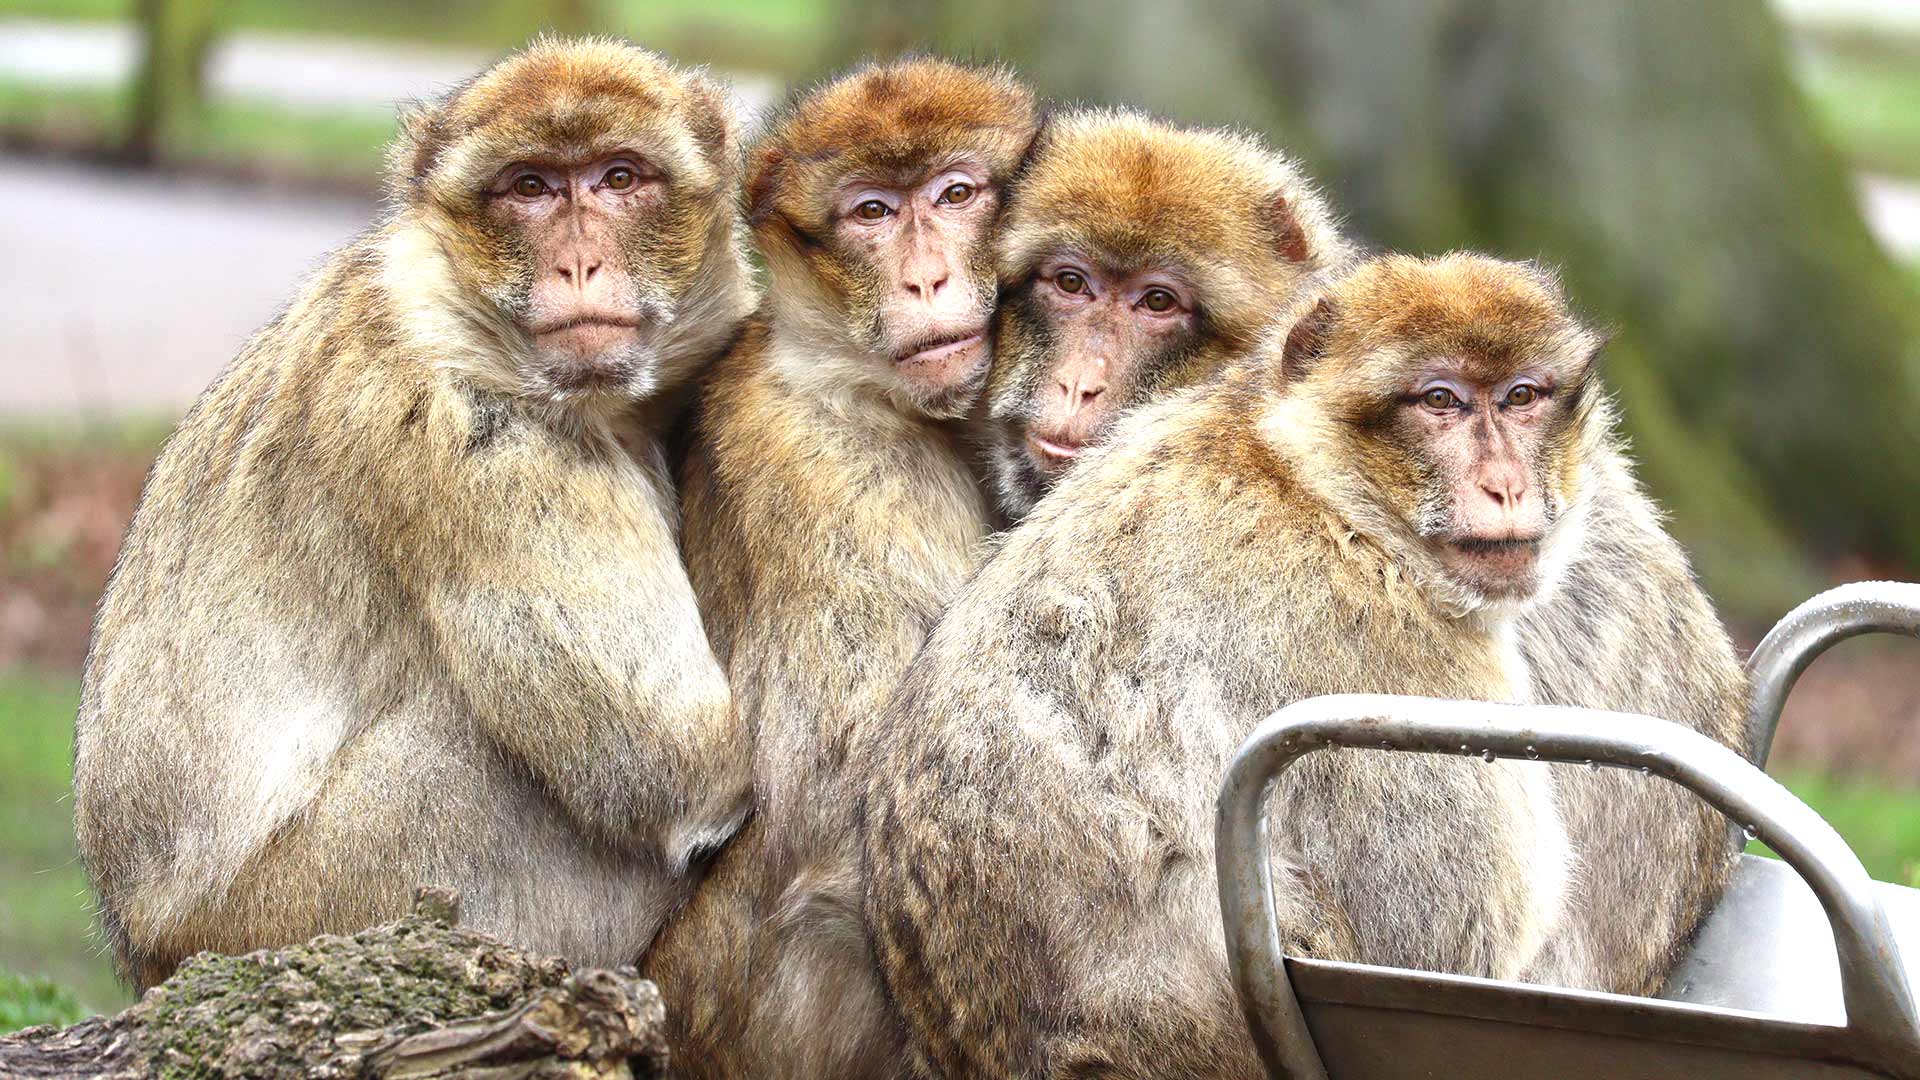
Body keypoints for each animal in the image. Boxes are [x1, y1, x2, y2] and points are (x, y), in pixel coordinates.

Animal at [71, 37, 757, 990]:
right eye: (529, 187)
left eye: (620, 176)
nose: (578, 264)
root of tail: (147, 949)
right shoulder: (466, 425)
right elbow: (681, 759)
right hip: (322, 899)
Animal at [861, 253, 1614, 1080]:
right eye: (1441, 401)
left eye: (1521, 397)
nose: (1506, 485)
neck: (1323, 491)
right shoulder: (1389, 657)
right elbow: (1439, 945)